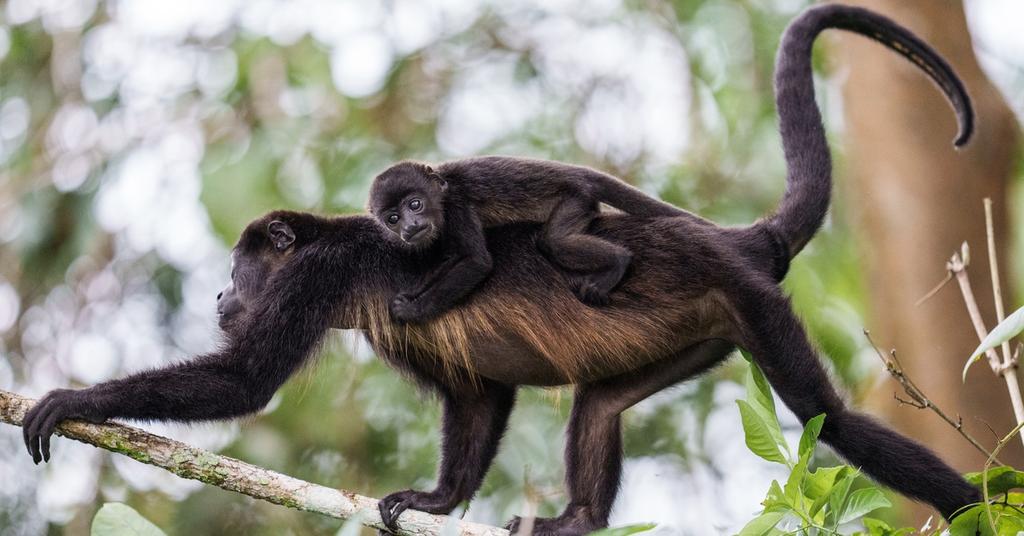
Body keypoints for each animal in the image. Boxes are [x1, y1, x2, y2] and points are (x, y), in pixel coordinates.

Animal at [368, 156, 696, 323]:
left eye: (415, 204)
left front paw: (413, 311)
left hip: (575, 199)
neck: (442, 193)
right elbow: (450, 260)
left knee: (553, 241)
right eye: (392, 219)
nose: (410, 226)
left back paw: (618, 263)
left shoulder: (458, 206)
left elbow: (476, 262)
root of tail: (579, 173)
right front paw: (413, 292)